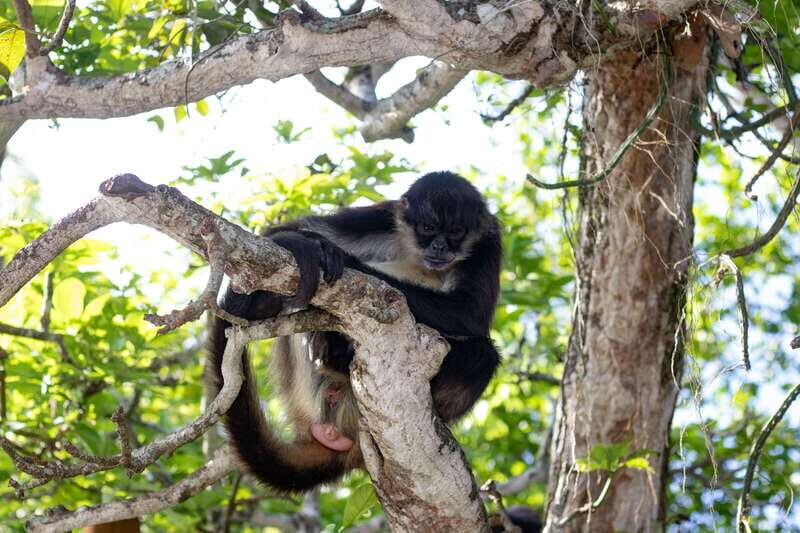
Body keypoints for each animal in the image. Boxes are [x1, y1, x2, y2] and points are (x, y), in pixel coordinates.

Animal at [207, 171, 502, 492]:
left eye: (457, 231)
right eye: (428, 228)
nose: (440, 247)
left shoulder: (489, 241)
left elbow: (468, 312)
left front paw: (344, 258)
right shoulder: (384, 216)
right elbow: (284, 231)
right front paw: (309, 243)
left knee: (483, 354)